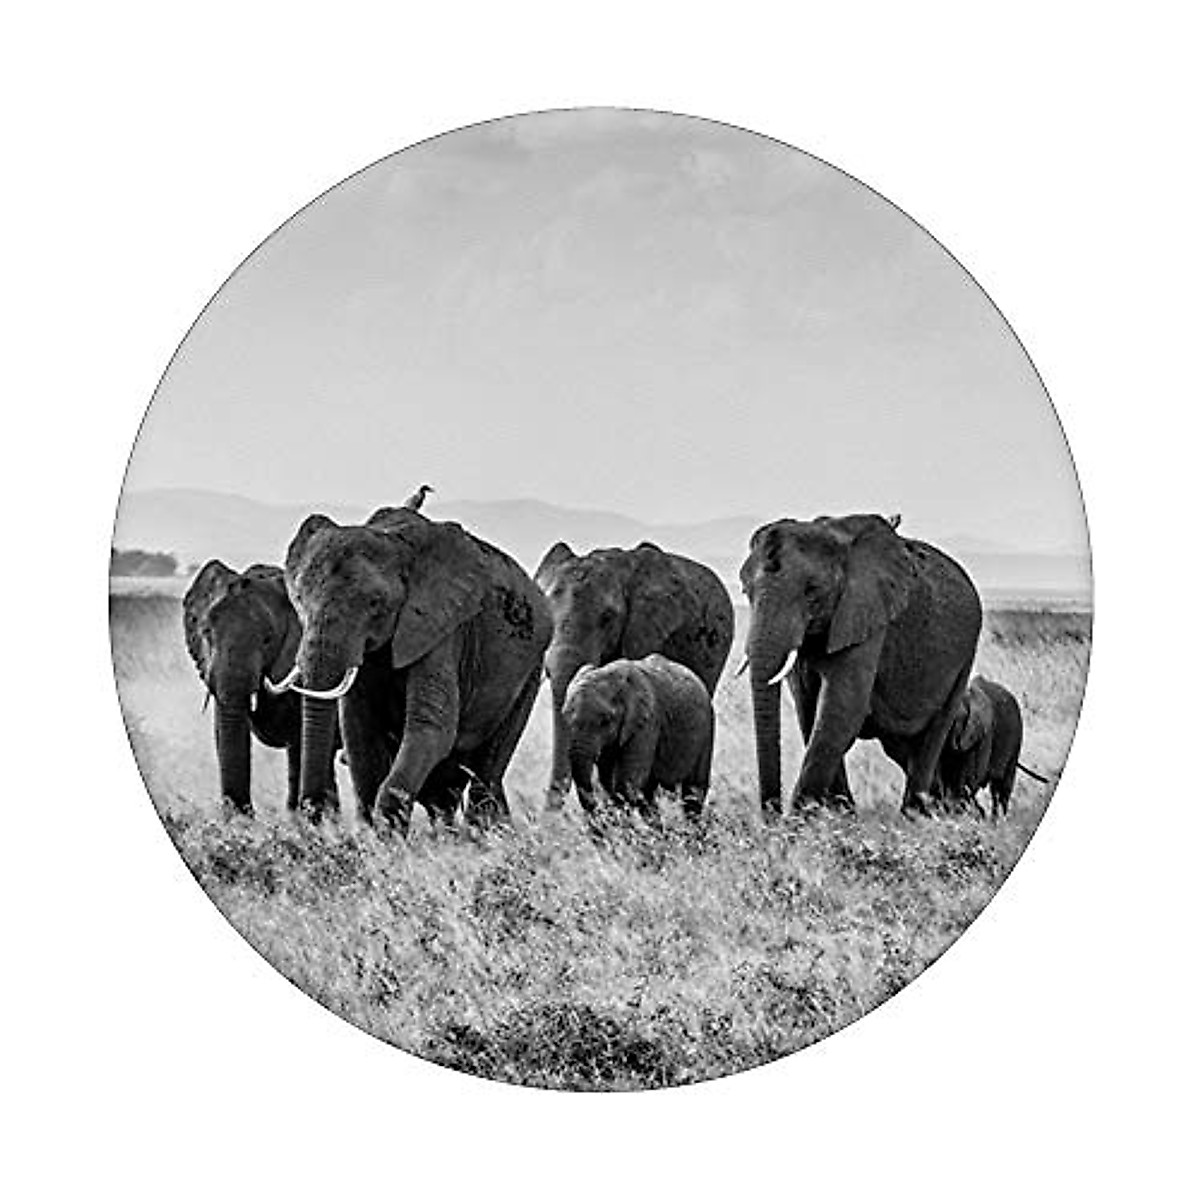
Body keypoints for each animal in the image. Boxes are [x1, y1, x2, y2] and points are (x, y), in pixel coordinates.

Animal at [277, 505, 552, 832]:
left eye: (375, 602)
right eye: (298, 598)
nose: (313, 812)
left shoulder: (442, 628)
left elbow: (430, 729)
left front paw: (389, 832)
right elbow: (358, 731)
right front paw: (374, 836)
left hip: (530, 671)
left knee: (487, 773)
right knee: (445, 794)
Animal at [563, 654, 715, 825]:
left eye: (605, 721)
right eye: (565, 716)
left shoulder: (647, 723)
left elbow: (626, 786)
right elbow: (607, 783)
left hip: (707, 728)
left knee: (694, 793)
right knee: (648, 795)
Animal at [739, 512, 982, 818]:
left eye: (812, 591)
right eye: (745, 590)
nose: (771, 816)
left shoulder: (867, 615)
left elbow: (842, 708)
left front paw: (801, 821)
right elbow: (809, 709)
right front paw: (840, 814)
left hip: (965, 656)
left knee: (935, 730)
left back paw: (915, 815)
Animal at [938, 676, 1026, 819]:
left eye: (955, 718)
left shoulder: (983, 735)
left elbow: (971, 777)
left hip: (1016, 743)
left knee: (1001, 786)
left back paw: (1000, 820)